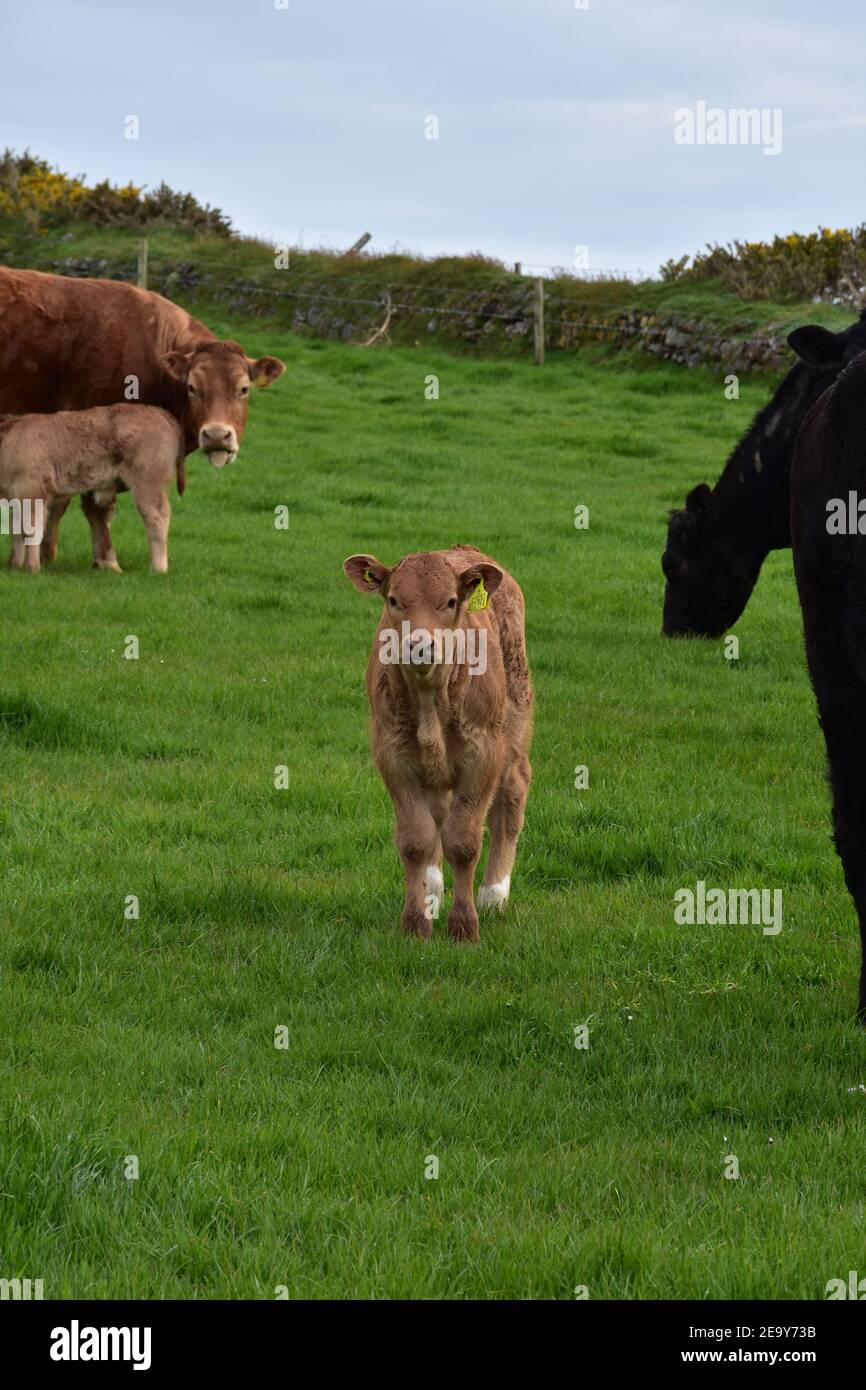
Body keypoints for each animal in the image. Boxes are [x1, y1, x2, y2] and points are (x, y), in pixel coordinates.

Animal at [1, 405, 186, 573]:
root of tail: (157, 411)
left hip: (148, 481)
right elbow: (16, 530)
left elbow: (32, 531)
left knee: (157, 517)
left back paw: (158, 568)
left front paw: (32, 568)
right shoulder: (14, 497)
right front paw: (15, 566)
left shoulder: (33, 492)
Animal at [343, 544, 533, 942]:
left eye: (450, 601)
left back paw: (493, 894)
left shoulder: (483, 757)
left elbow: (463, 842)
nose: (420, 646)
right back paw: (433, 892)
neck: (431, 698)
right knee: (437, 821)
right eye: (394, 600)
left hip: (514, 722)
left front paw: (465, 925)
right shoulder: (393, 757)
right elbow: (417, 839)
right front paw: (417, 921)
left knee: (512, 794)